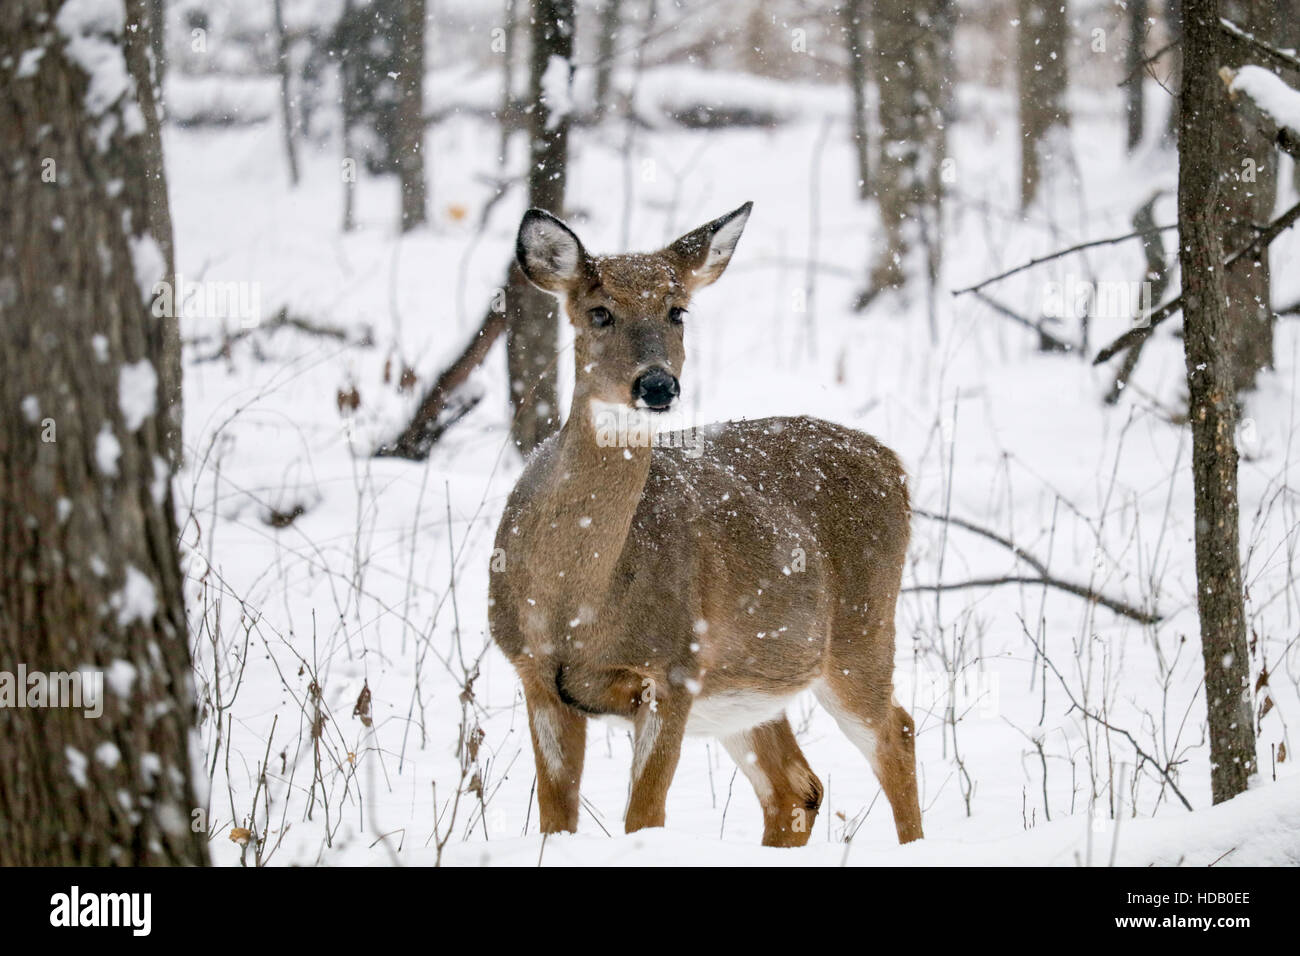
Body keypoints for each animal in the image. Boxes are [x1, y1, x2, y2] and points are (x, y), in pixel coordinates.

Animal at [488, 202, 923, 847]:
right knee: (799, 786)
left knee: (896, 732)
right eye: (599, 311)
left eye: (677, 310)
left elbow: (644, 819)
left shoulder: (673, 670)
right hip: (746, 687)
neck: (574, 600)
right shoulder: (534, 670)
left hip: (860, 632)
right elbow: (555, 819)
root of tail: (891, 462)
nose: (657, 384)